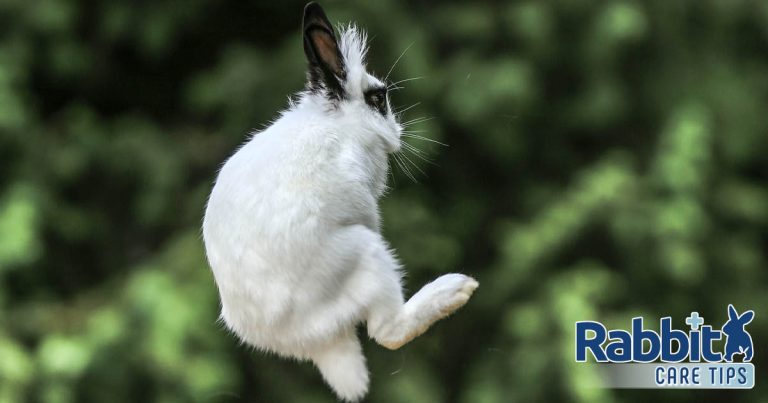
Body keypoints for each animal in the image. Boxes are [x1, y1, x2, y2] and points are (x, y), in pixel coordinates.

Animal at [202, 2, 478, 401]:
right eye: (377, 99)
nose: (397, 132)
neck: (341, 124)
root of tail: (310, 341)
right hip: (367, 255)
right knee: (387, 332)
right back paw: (456, 288)